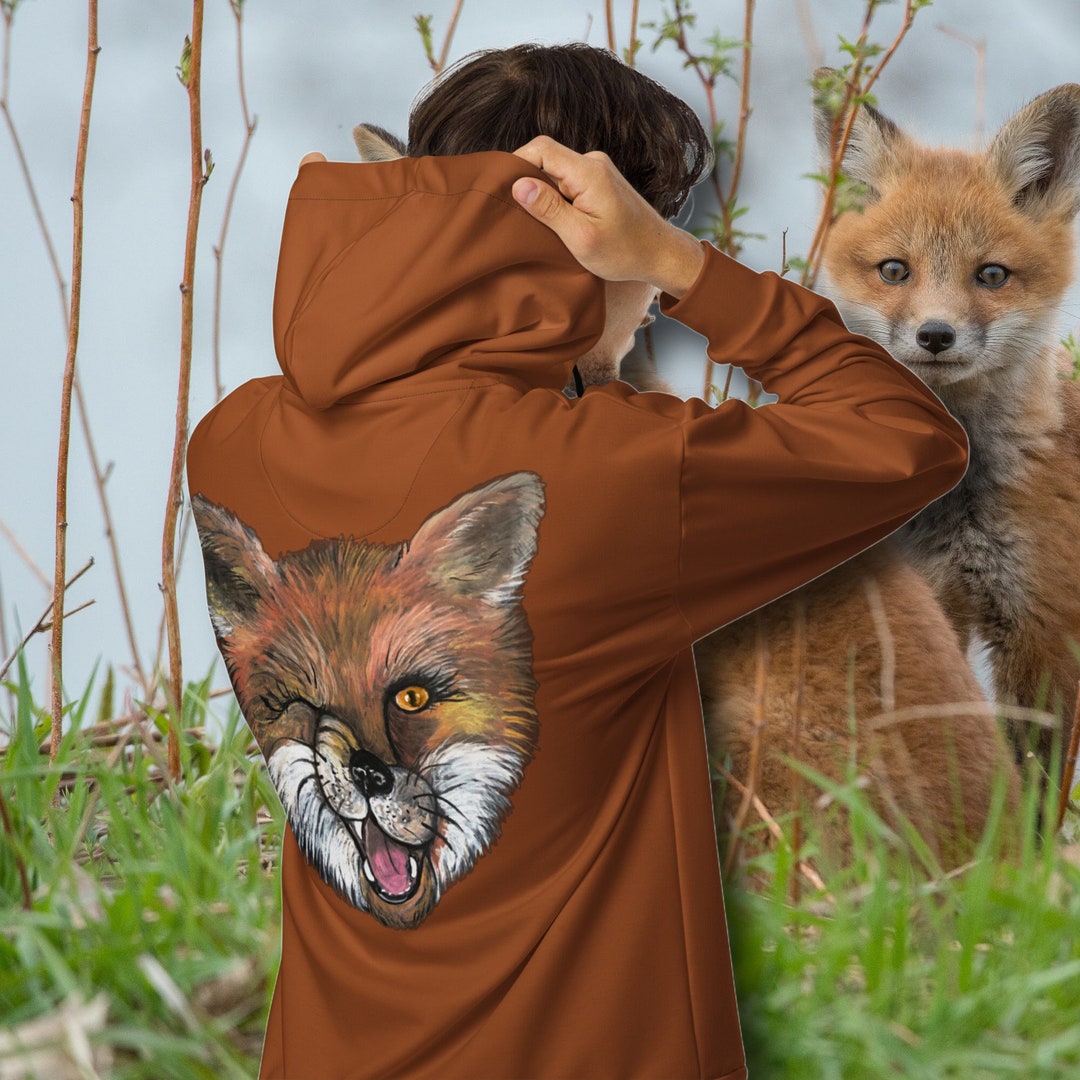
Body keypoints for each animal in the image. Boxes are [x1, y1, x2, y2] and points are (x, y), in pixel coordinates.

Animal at [813, 76, 1080, 812]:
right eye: (894, 270)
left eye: (990, 275)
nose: (935, 335)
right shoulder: (933, 602)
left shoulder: (1044, 630)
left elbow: (1037, 794)